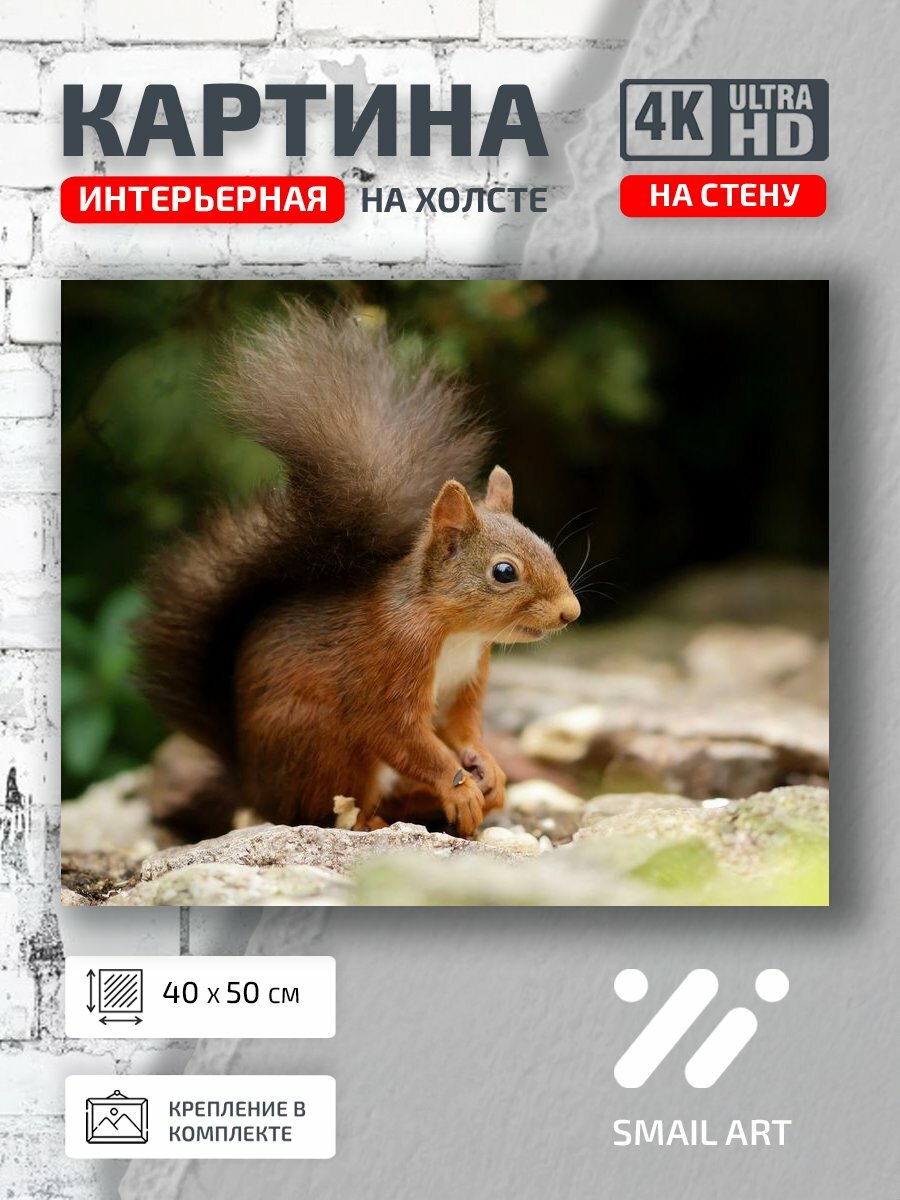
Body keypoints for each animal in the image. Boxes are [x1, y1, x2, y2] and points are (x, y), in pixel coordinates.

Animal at [136, 300, 580, 838]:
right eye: (504, 572)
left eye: (547, 545)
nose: (571, 612)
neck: (453, 630)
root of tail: (254, 785)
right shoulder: (388, 668)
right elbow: (402, 735)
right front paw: (458, 785)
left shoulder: (468, 679)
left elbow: (462, 728)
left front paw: (487, 768)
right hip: (325, 746)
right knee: (330, 810)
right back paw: (376, 819)